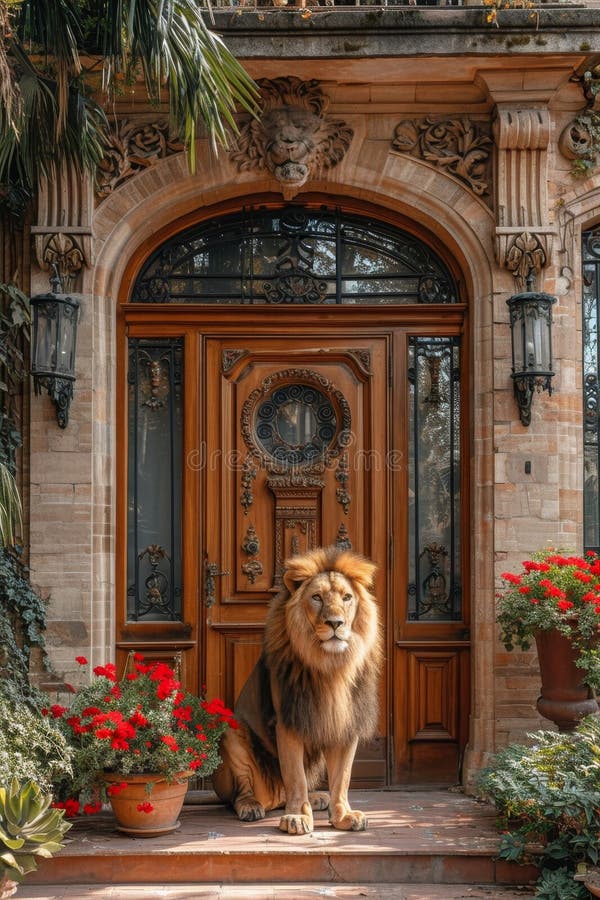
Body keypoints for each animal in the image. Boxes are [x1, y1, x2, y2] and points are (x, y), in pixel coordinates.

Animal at [211, 546, 382, 835]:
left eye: (347, 597)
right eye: (316, 597)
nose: (335, 623)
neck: (330, 665)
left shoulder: (346, 723)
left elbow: (343, 778)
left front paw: (343, 815)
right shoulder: (288, 722)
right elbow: (295, 776)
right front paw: (297, 817)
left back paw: (318, 799)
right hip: (230, 732)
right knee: (242, 794)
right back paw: (252, 806)